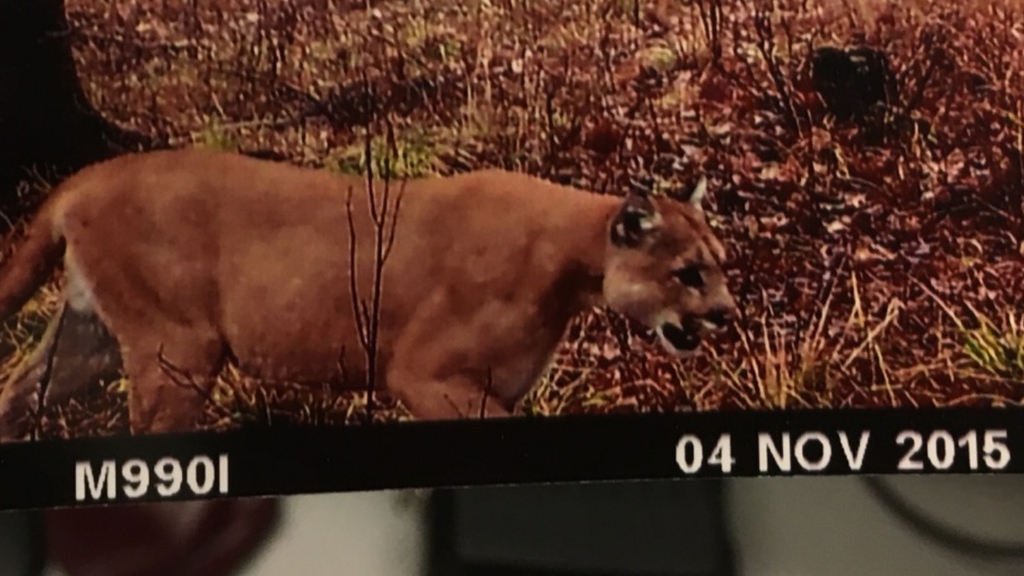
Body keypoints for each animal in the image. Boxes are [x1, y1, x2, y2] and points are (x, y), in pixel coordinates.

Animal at [0, 148, 738, 440]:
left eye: (722, 265)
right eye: (689, 273)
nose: (729, 313)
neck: (574, 260)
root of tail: (88, 174)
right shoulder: (424, 374)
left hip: (89, 337)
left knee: (16, 389)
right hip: (177, 349)